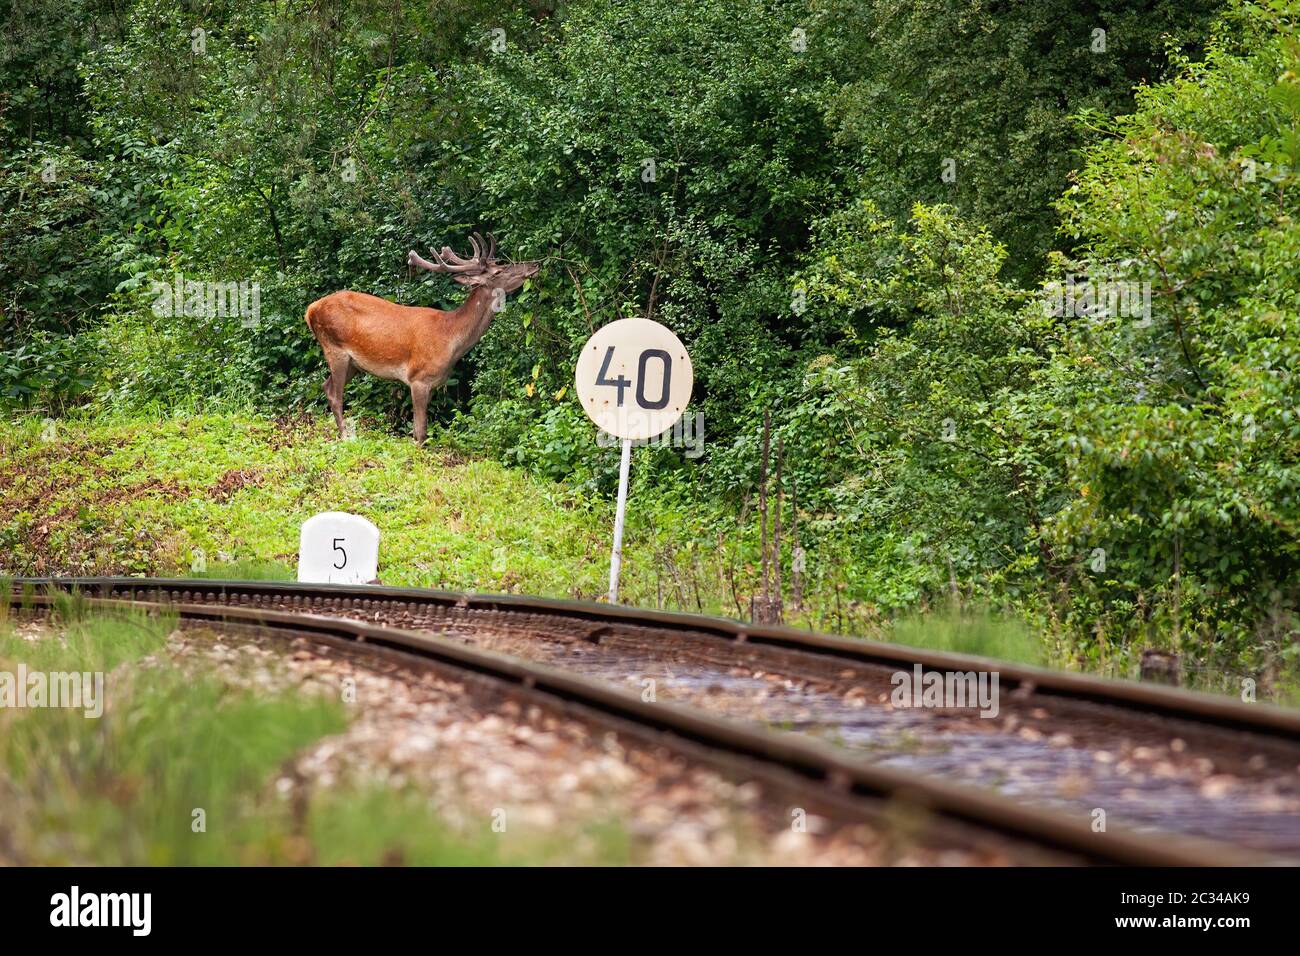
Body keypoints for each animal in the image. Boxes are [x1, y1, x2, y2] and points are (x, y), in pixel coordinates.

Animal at [305, 233, 539, 444]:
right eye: (500, 270)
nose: (535, 264)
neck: (451, 337)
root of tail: (310, 310)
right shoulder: (418, 378)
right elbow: (420, 432)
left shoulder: (434, 384)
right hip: (334, 347)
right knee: (335, 395)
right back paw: (346, 437)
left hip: (353, 363)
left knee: (326, 386)